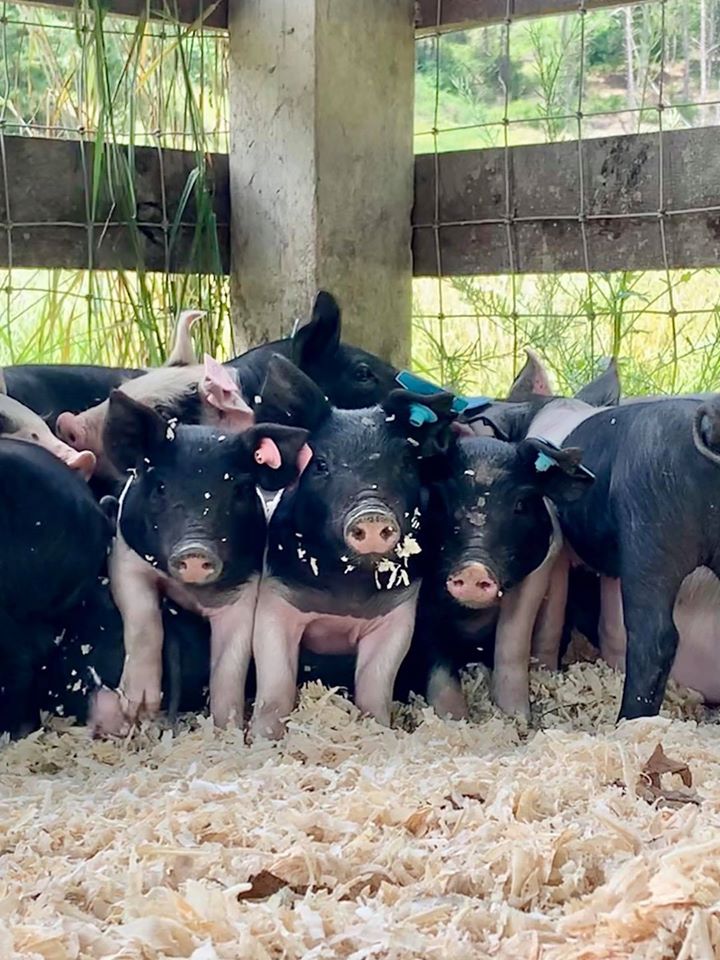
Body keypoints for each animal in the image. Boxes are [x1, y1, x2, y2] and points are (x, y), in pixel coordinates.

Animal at [97, 390, 310, 732]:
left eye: (240, 489)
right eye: (160, 486)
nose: (195, 551)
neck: (189, 591)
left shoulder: (244, 591)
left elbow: (228, 667)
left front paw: (229, 731)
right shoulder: (125, 555)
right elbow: (144, 621)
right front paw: (138, 709)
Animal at [248, 354, 457, 740]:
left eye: (405, 464)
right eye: (321, 464)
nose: (371, 513)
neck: (345, 597)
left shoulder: (397, 614)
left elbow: (374, 687)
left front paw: (378, 730)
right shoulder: (275, 600)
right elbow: (276, 686)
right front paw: (262, 741)